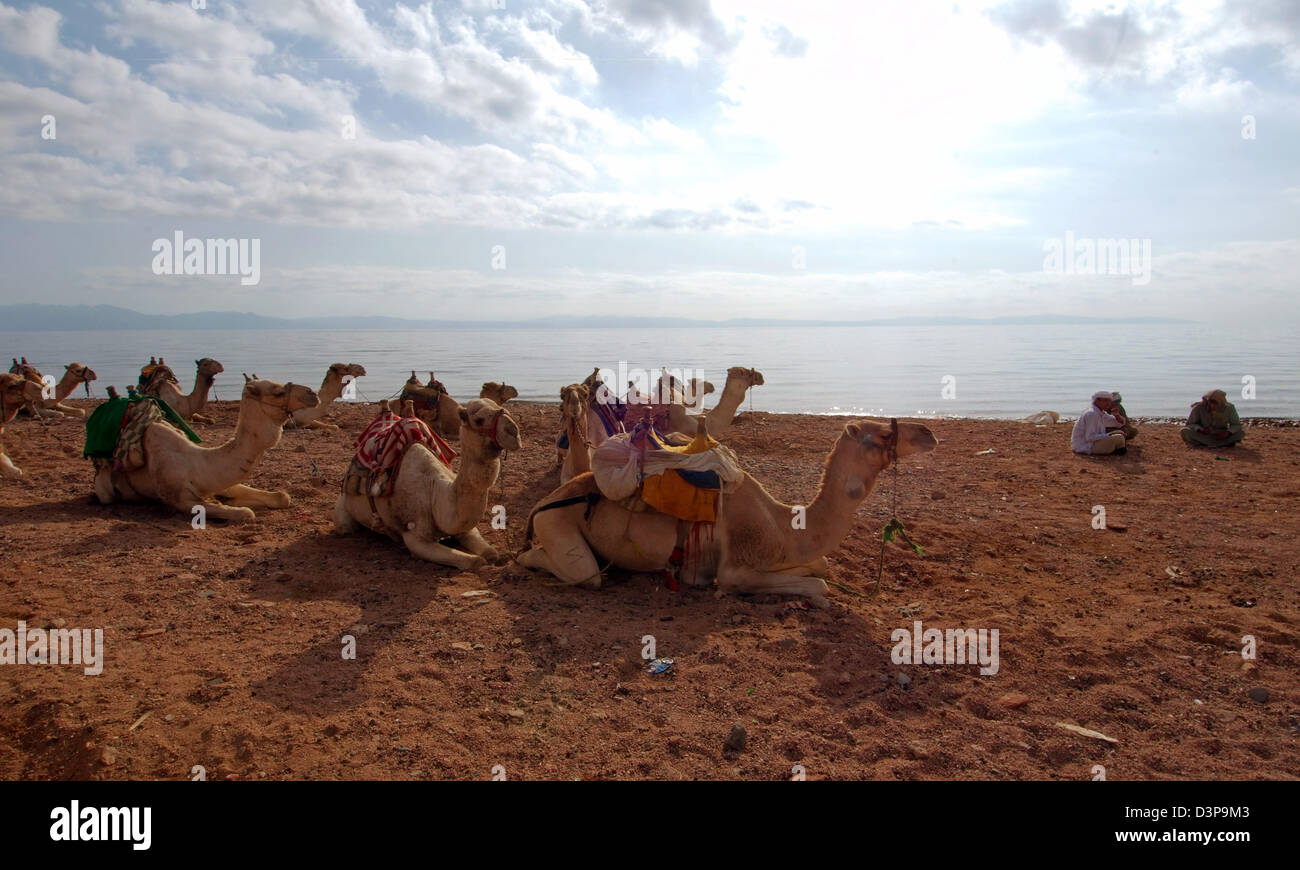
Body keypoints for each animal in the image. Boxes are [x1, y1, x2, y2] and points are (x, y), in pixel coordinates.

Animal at [93, 376, 319, 522]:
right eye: (278, 392)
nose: (313, 393)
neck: (197, 463)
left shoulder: (218, 481)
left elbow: (282, 496)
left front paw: (233, 499)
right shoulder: (179, 499)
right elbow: (245, 512)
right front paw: (233, 505)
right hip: (105, 490)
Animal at [333, 398, 523, 570]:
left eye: (505, 409)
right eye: (479, 420)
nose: (514, 433)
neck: (436, 492)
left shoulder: (465, 527)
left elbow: (491, 553)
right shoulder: (415, 537)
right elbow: (474, 562)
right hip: (345, 508)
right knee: (345, 527)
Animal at [518, 417, 937, 607]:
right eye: (882, 433)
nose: (928, 433)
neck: (783, 524)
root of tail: (540, 506)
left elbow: (823, 566)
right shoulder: (735, 569)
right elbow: (819, 586)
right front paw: (817, 596)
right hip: (558, 525)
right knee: (580, 572)